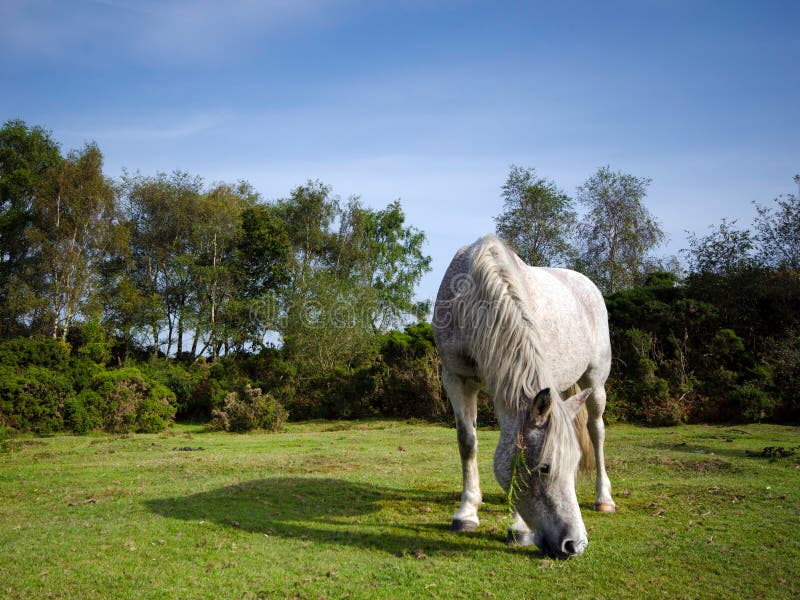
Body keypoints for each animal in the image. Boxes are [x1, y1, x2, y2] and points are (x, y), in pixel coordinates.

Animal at [432, 234, 615, 559]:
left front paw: (519, 528)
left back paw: (603, 498)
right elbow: (467, 442)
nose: (575, 544)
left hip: (596, 382)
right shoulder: (456, 378)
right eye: (544, 468)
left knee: (597, 431)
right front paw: (467, 513)